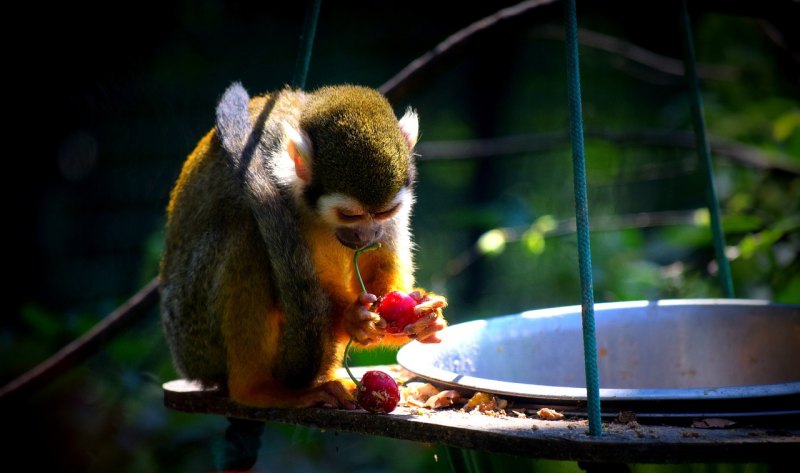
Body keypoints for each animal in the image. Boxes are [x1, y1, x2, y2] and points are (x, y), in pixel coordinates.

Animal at [159, 83, 446, 408]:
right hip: (195, 335)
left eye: (385, 212)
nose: (368, 235)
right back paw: (257, 389)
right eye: (350, 215)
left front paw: (421, 317)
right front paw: (353, 319)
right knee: (247, 234)